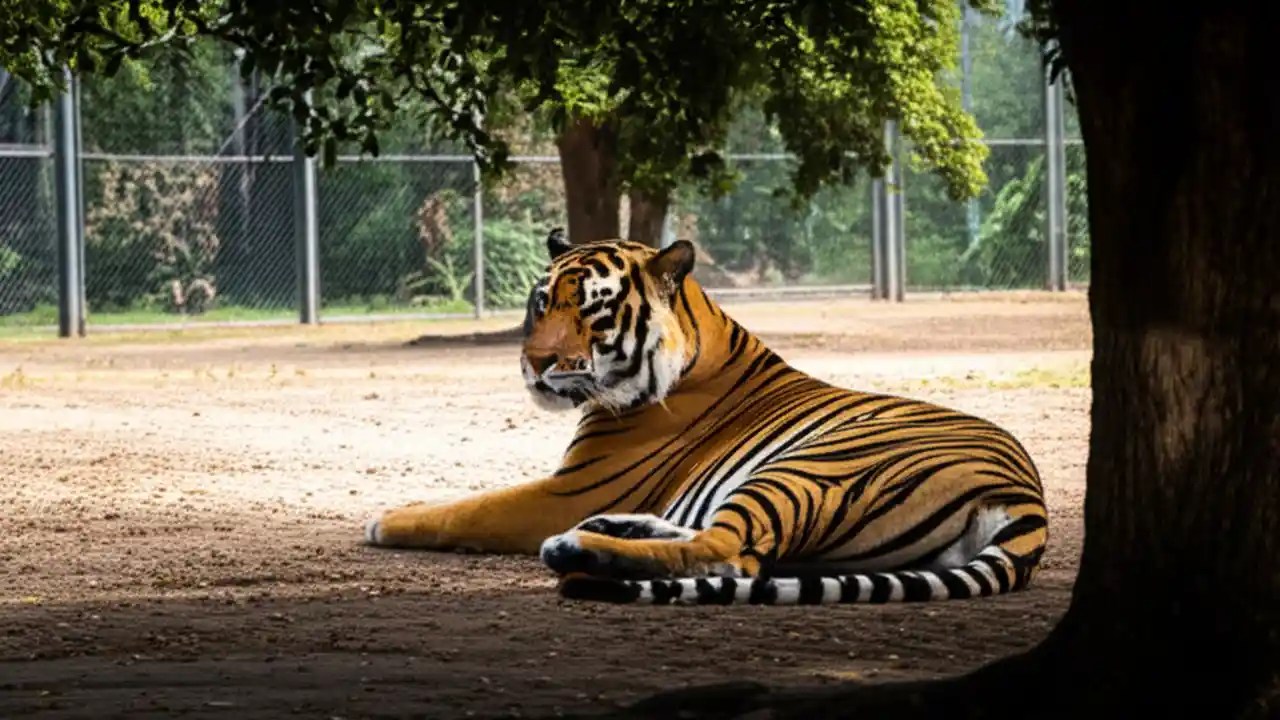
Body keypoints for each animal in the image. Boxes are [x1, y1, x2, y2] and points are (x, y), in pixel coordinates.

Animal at [363, 228, 1049, 606]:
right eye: (541, 303)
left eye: (593, 309)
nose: (534, 364)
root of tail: (1024, 498)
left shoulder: (565, 490)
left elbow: (464, 508)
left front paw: (384, 520)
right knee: (733, 547)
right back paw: (617, 527)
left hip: (805, 468)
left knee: (729, 552)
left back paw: (577, 545)